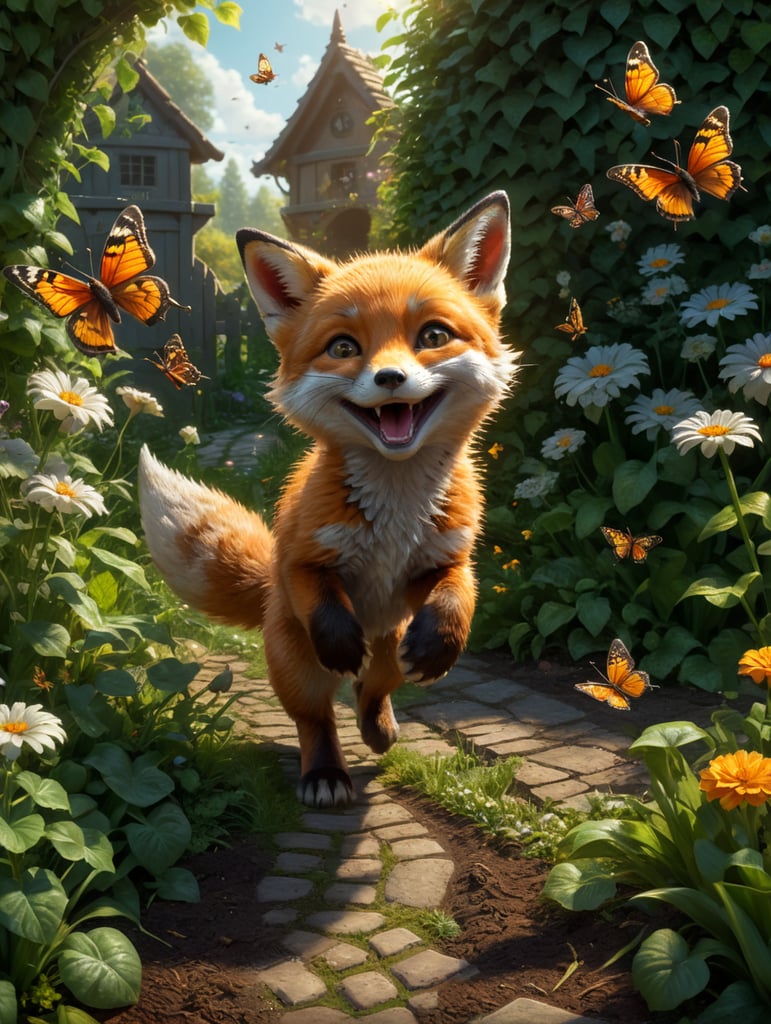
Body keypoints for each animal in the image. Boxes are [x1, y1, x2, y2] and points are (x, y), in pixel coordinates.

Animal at [138, 191, 517, 807]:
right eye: (344, 347)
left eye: (433, 336)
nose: (390, 378)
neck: (395, 513)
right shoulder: (302, 557)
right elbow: (322, 603)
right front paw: (342, 644)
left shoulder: (444, 557)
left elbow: (458, 596)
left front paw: (440, 647)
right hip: (297, 669)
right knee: (316, 719)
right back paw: (324, 774)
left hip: (390, 654)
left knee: (372, 690)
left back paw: (379, 726)